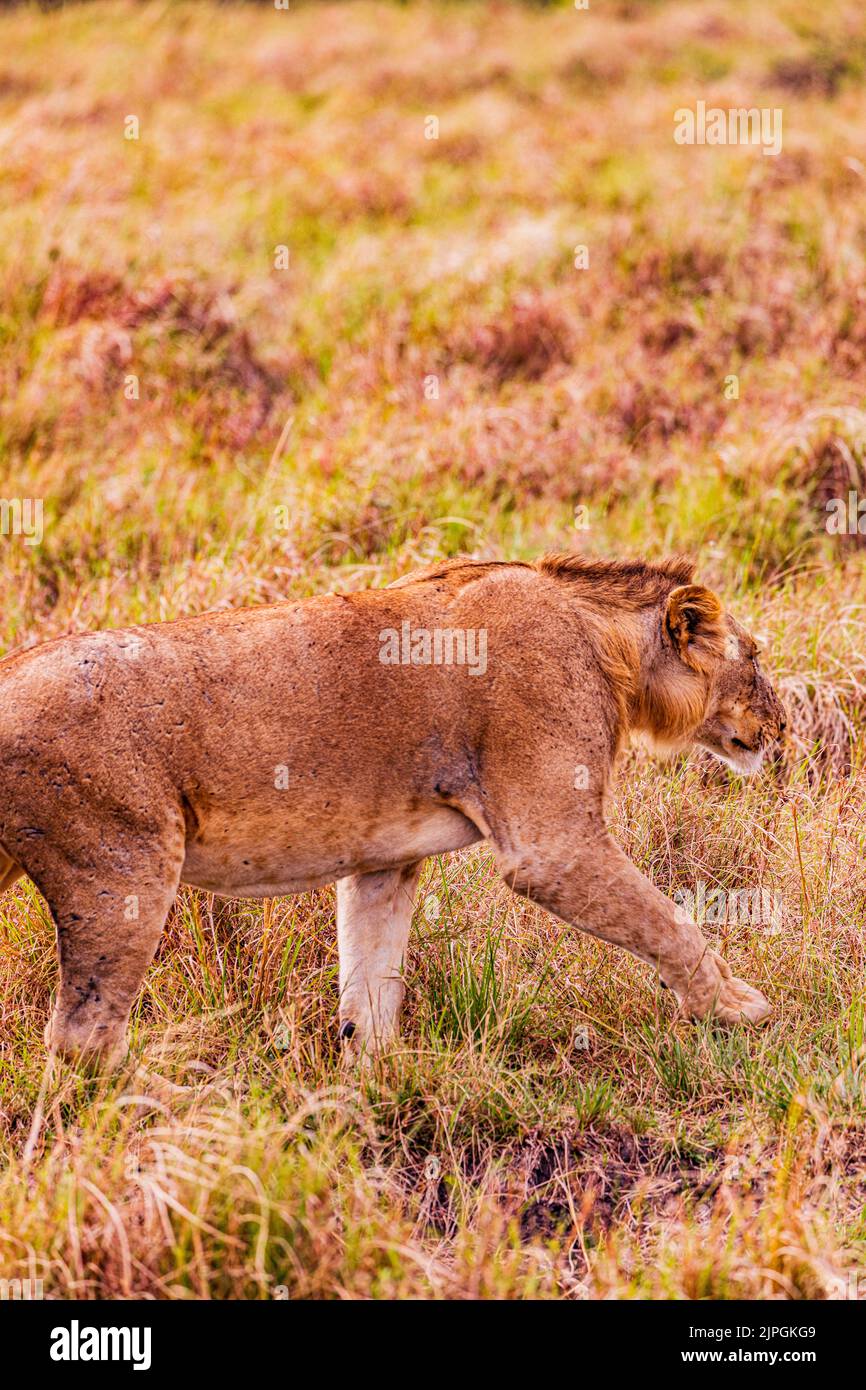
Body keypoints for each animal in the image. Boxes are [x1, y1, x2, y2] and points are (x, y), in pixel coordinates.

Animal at [0, 554, 785, 1066]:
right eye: (753, 658)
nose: (782, 726)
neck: (603, 641)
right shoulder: (551, 845)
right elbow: (671, 924)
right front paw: (739, 1008)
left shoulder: (383, 861)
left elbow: (370, 993)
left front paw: (375, 1094)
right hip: (123, 871)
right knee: (81, 1038)